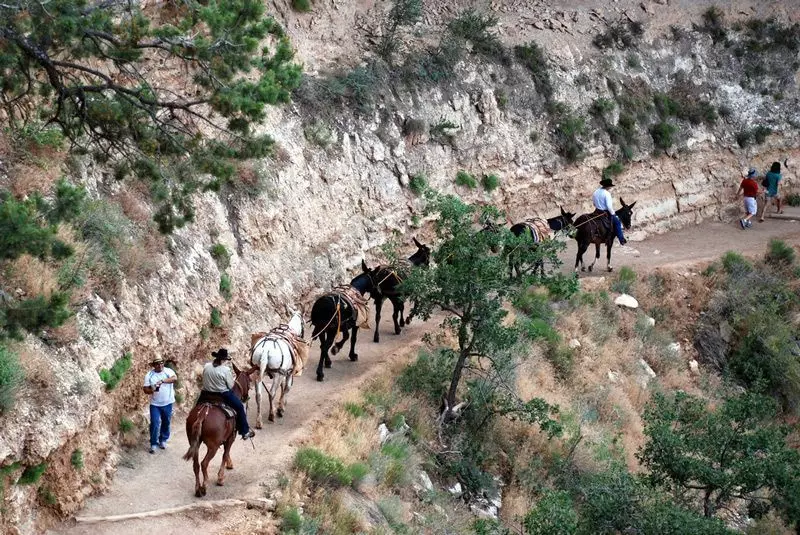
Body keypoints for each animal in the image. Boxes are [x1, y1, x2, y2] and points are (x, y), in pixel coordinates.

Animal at [183, 364, 252, 498]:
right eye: (250, 381)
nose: (246, 397)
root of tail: (203, 414)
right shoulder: (231, 438)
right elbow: (225, 454)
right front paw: (220, 478)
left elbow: (226, 454)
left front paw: (229, 465)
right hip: (213, 446)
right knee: (204, 463)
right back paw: (204, 486)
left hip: (195, 444)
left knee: (196, 465)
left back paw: (197, 489)